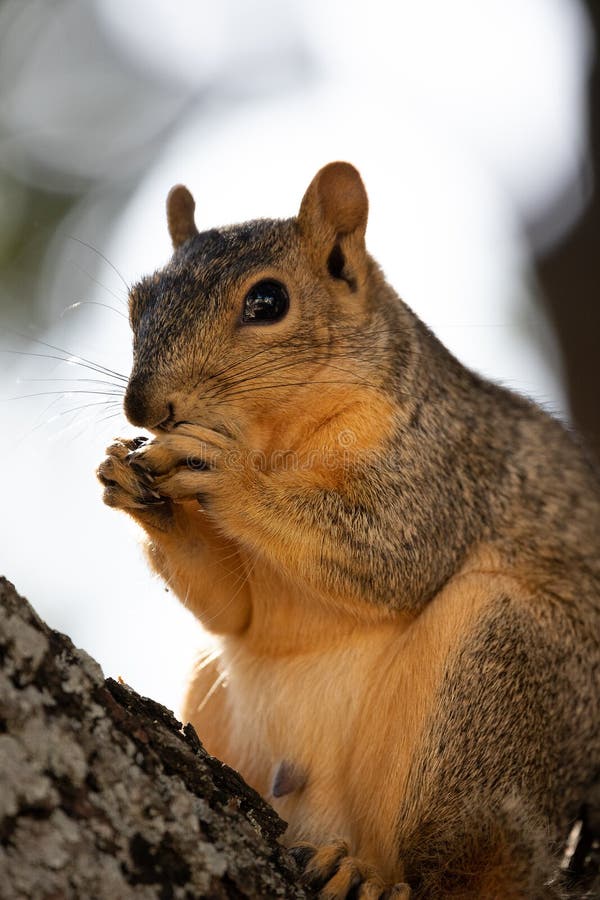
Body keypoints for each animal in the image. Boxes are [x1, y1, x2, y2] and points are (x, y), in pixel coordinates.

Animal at [97, 162, 600, 899]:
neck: (280, 441)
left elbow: (393, 555)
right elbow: (234, 612)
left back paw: (373, 874)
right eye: (138, 302)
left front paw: (229, 474)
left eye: (268, 301)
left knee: (450, 868)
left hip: (497, 678)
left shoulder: (442, 465)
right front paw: (134, 485)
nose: (143, 407)